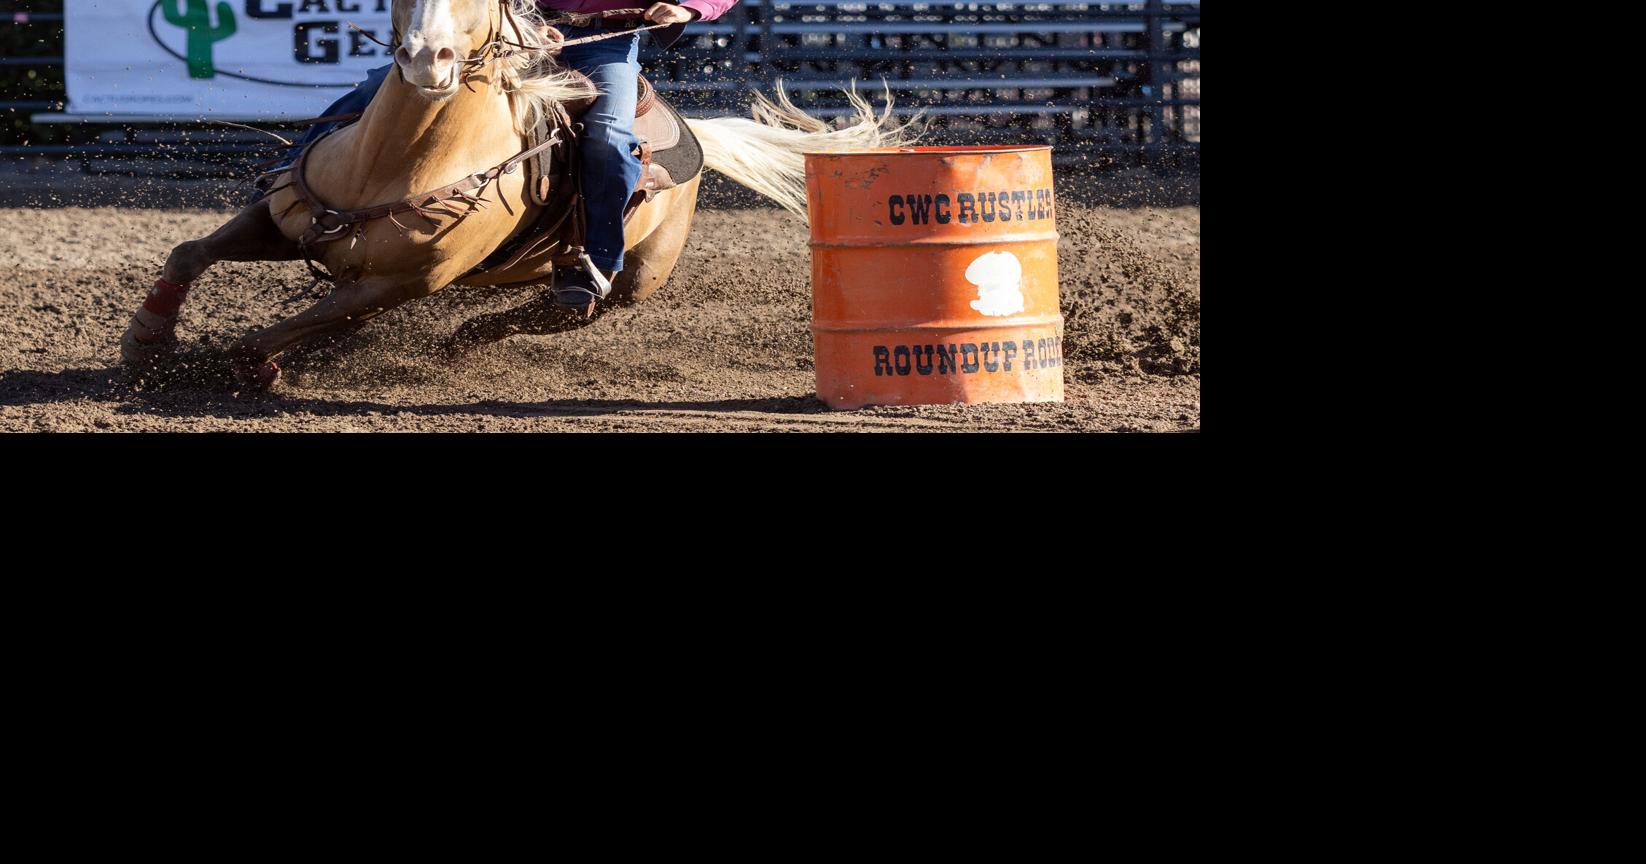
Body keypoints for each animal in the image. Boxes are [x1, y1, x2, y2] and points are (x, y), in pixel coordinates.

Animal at [120, 0, 919, 387]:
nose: (428, 59)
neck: (399, 159)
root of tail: (691, 131)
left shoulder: (398, 283)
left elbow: (264, 336)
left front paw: (255, 365)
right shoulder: (285, 221)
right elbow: (189, 252)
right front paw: (147, 342)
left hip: (633, 277)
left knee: (564, 307)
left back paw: (463, 342)